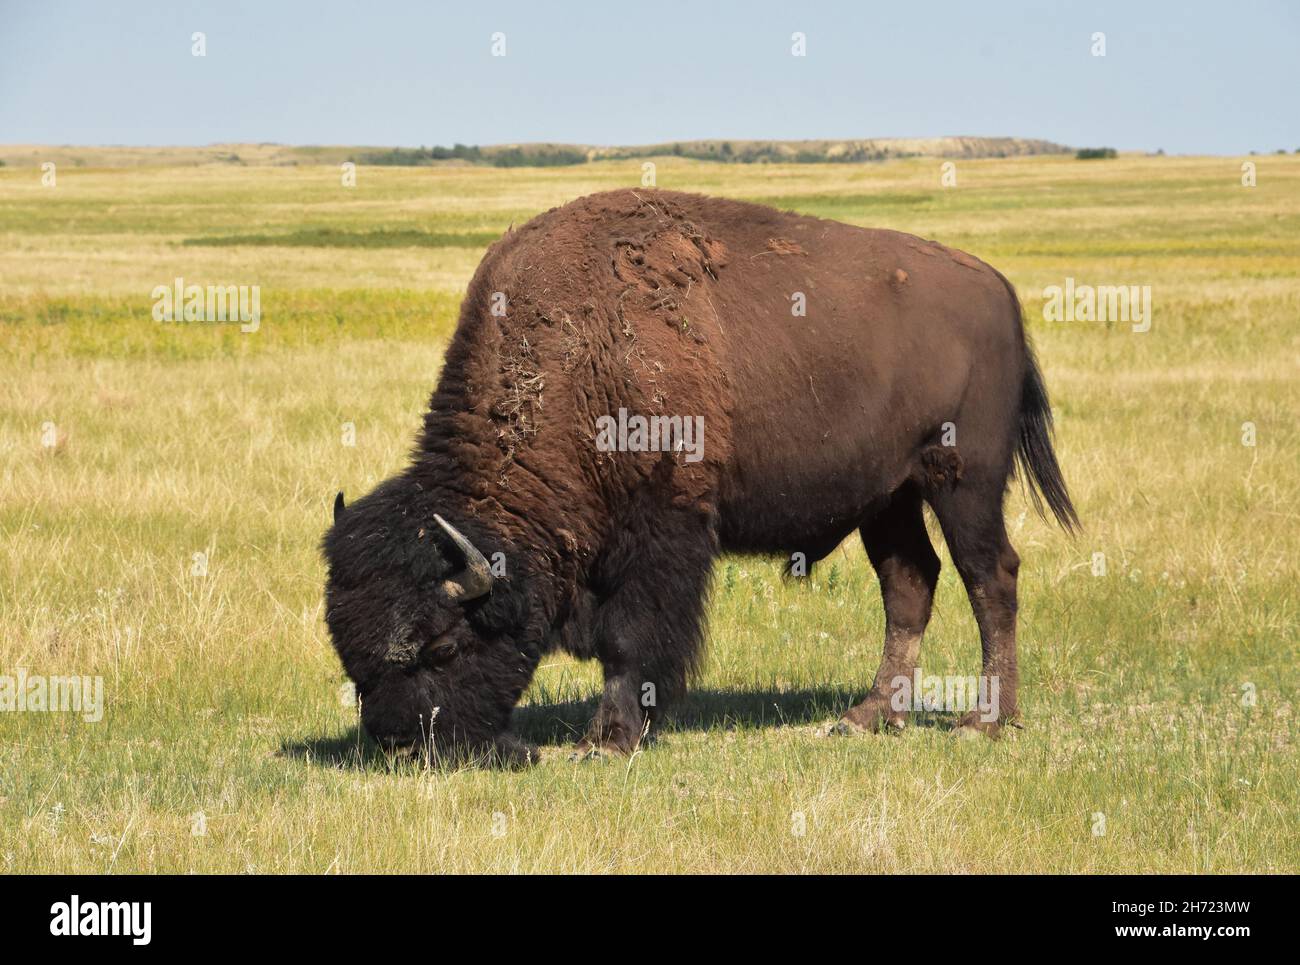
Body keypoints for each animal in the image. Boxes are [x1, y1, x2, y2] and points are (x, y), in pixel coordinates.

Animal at [322, 188, 1076, 765]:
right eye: (351, 657)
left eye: (442, 646)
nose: (404, 747)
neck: (581, 357)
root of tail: (997, 289)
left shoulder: (662, 532)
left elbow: (628, 637)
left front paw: (608, 740)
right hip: (887, 499)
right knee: (910, 583)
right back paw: (866, 717)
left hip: (962, 481)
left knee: (990, 576)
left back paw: (984, 720)